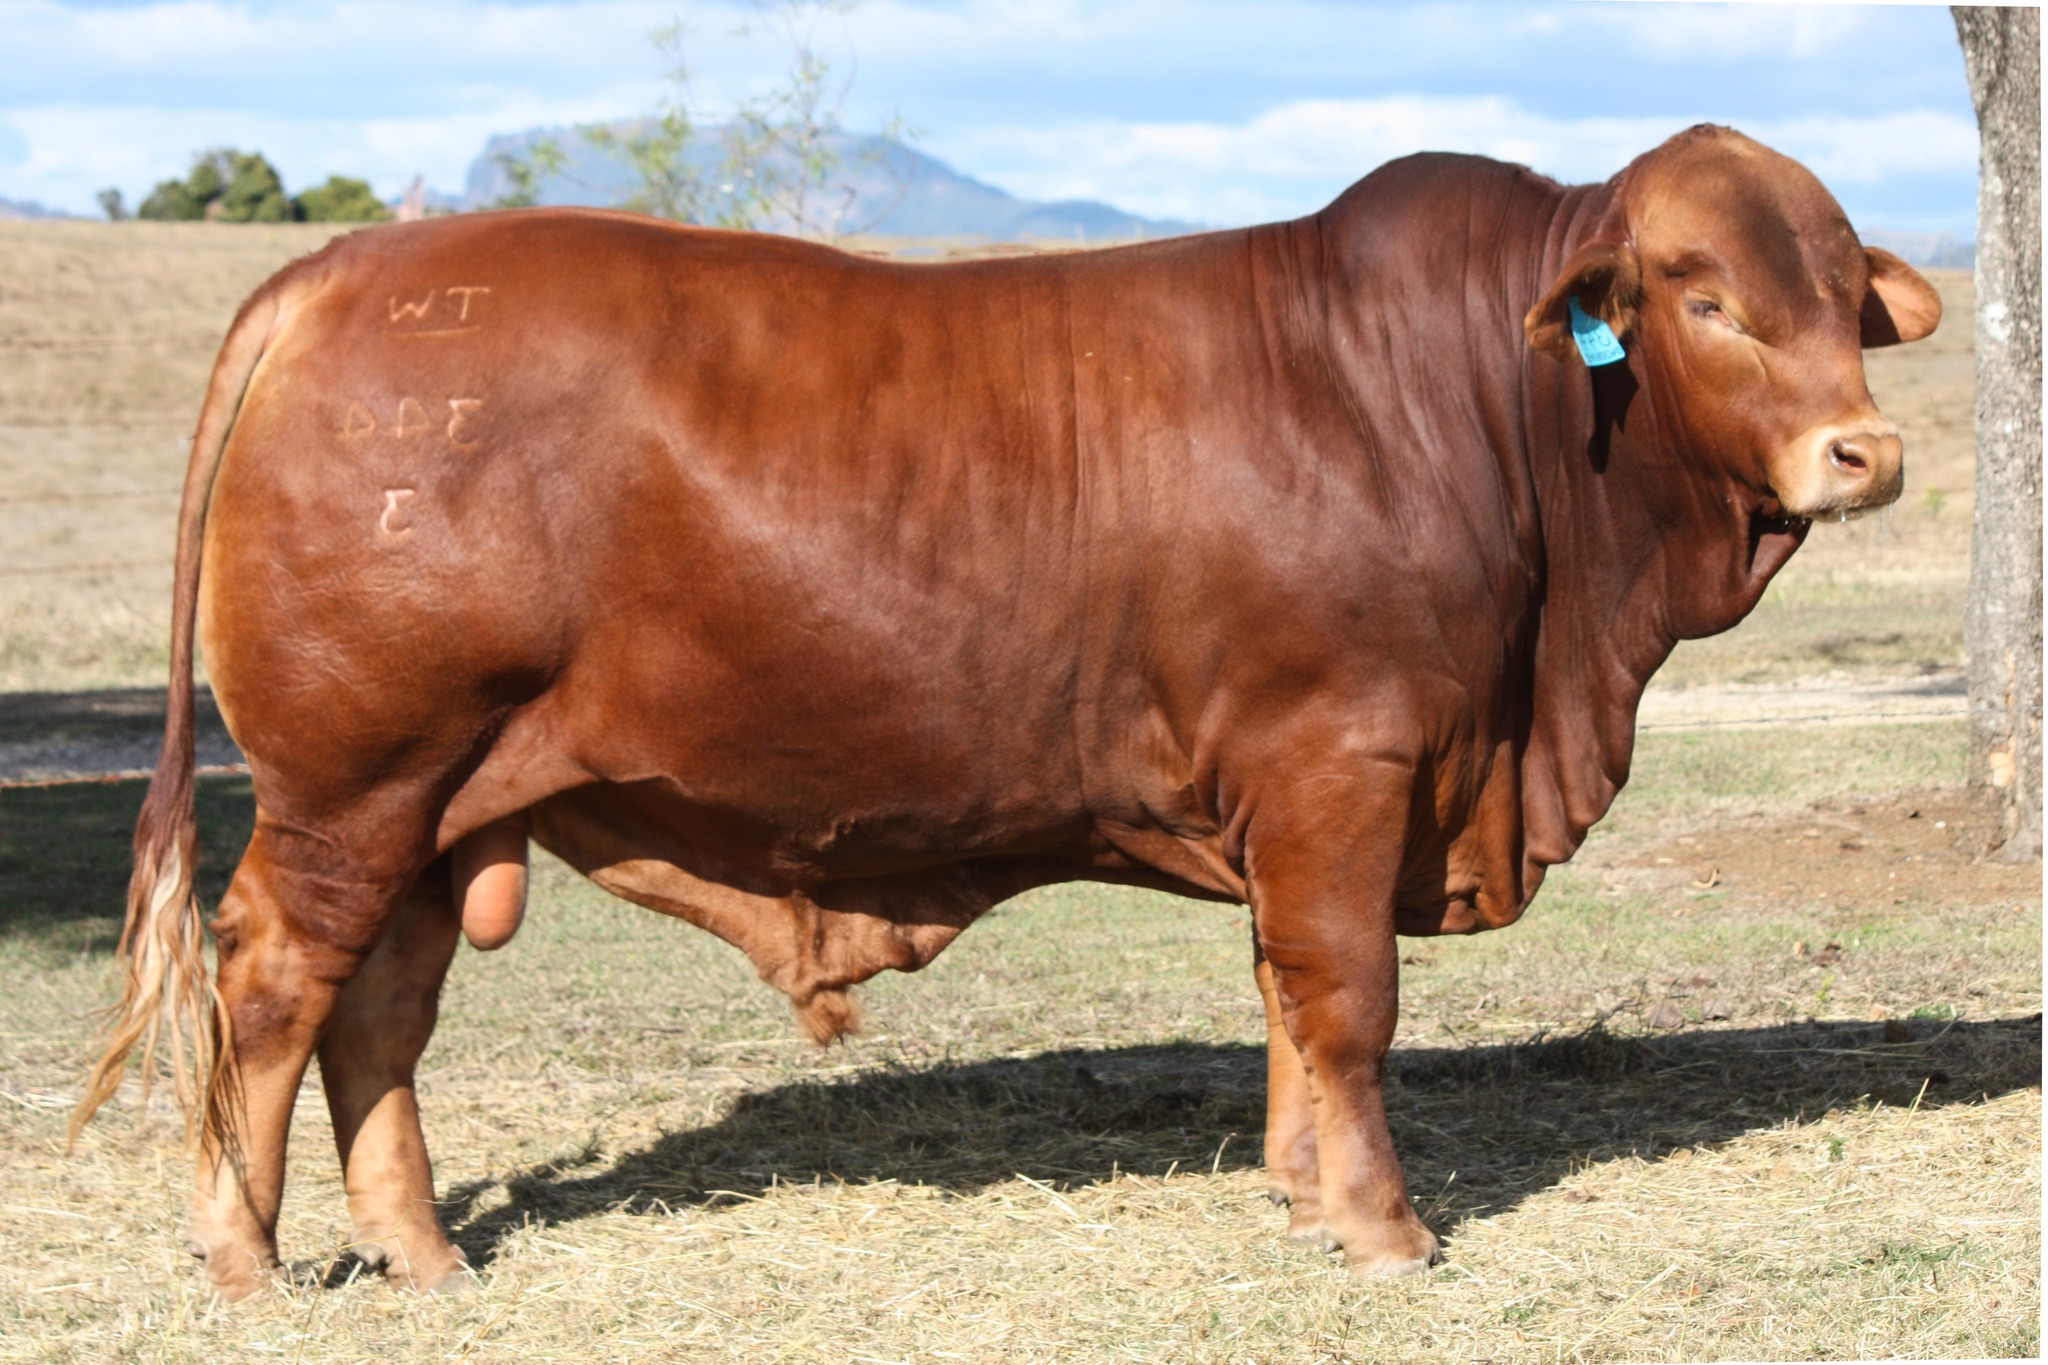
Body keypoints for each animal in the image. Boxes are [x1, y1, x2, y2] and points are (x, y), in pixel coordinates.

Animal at [73, 125, 1939, 1299]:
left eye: (1843, 296)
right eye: (1704, 297)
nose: (1863, 452)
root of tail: (344, 271)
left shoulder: (1294, 796)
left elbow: (1284, 995)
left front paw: (1295, 1196)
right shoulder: (1342, 759)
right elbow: (1346, 1000)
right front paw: (1384, 1232)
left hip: (444, 795)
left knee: (377, 1015)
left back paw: (423, 1253)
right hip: (352, 779)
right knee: (274, 989)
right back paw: (244, 1259)